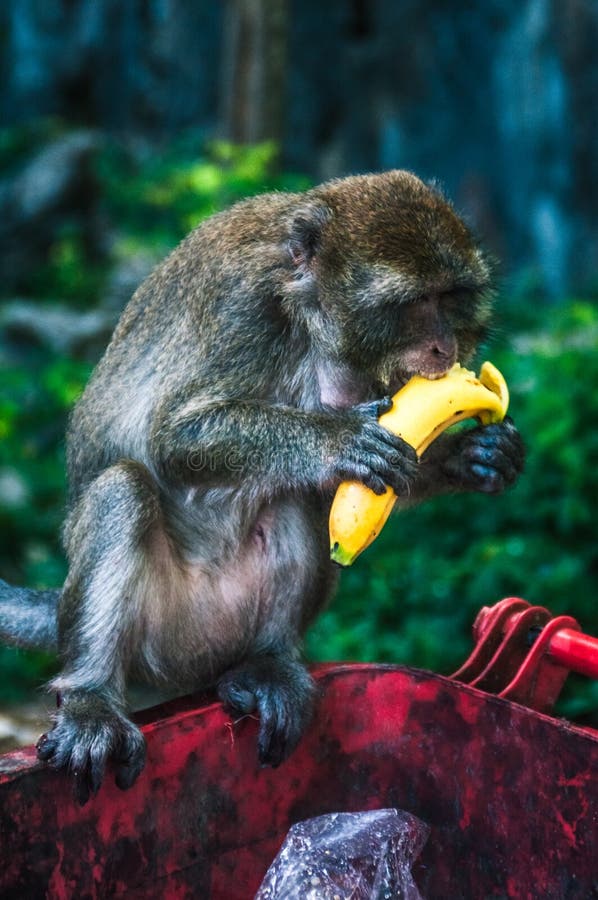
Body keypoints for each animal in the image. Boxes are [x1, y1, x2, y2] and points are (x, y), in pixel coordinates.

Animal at [0, 170, 524, 804]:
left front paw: (476, 456)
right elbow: (174, 436)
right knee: (125, 489)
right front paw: (335, 440)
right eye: (413, 304)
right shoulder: (242, 305)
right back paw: (91, 700)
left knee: (296, 496)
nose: (446, 349)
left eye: (450, 298)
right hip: (154, 627)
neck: (307, 311)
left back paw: (269, 663)